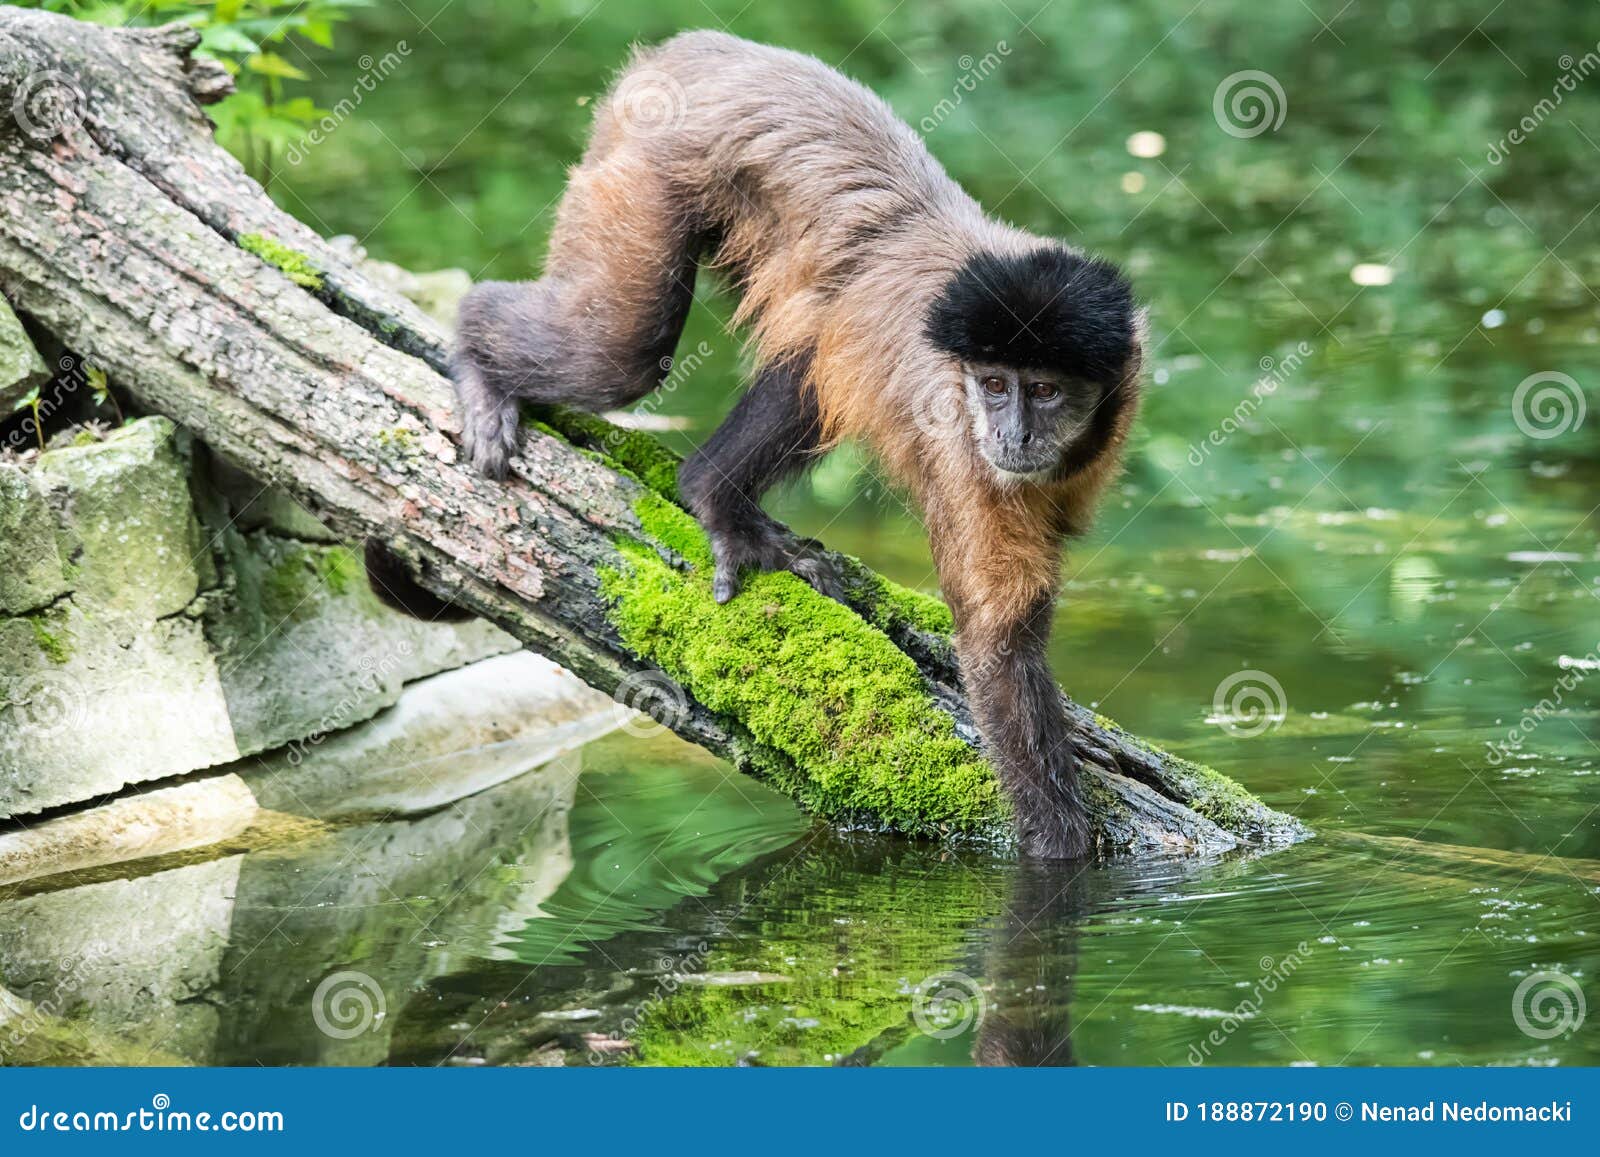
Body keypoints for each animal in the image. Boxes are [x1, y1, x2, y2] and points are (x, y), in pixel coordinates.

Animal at [446, 31, 1143, 859]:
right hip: (644, 168)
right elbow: (998, 647)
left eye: (1043, 390)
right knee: (620, 353)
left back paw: (710, 489)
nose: (1012, 431)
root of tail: (695, 50)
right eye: (996, 386)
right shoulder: (960, 437)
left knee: (814, 347)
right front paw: (1060, 854)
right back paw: (477, 352)